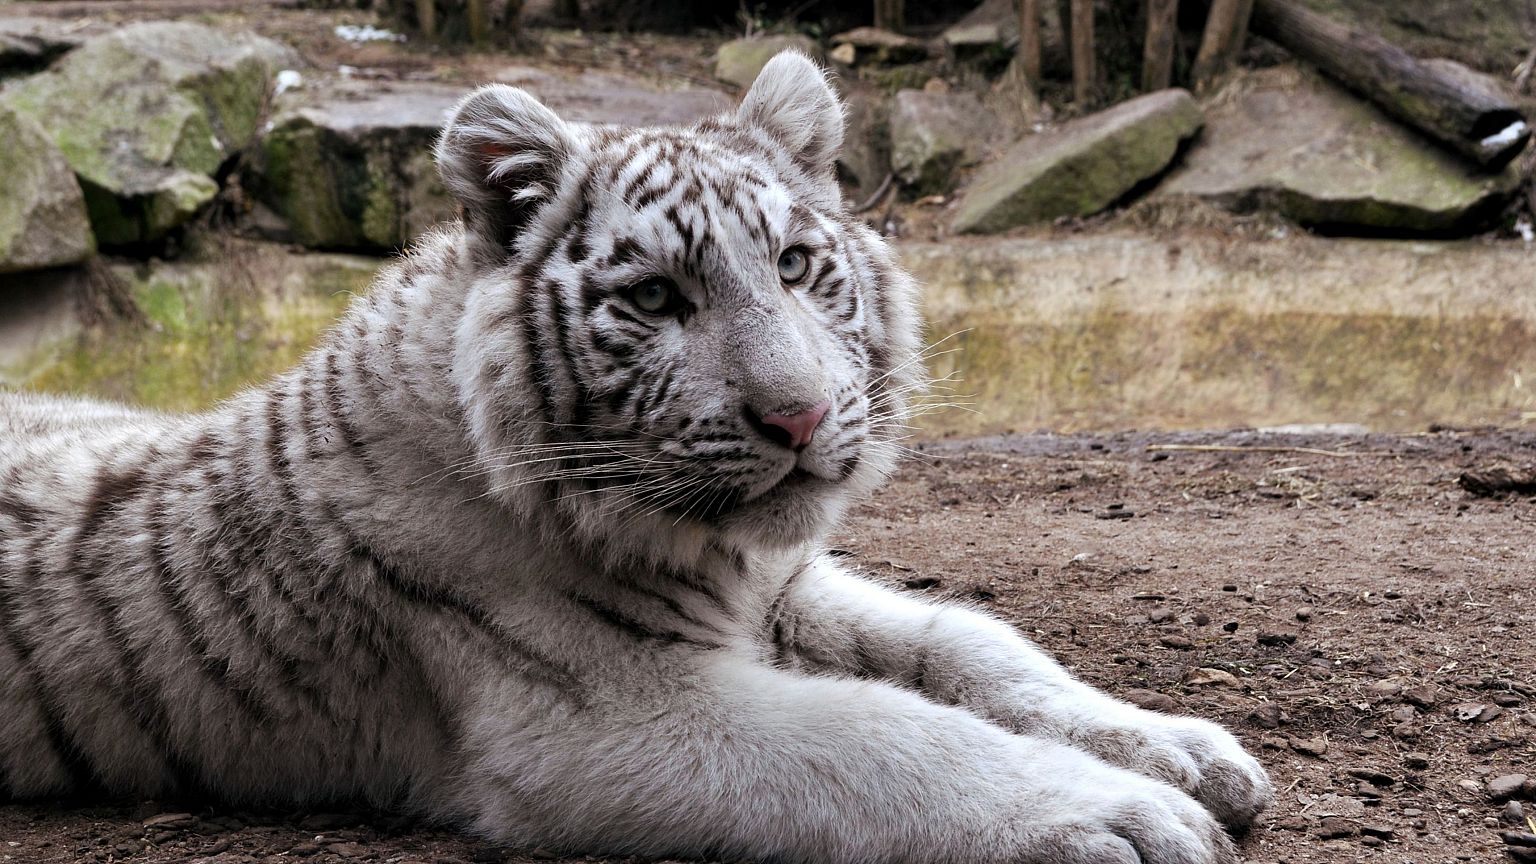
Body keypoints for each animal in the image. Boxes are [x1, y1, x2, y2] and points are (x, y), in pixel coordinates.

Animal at [0, 52, 1270, 863]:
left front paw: (1180, 751)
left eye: (797, 266)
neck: (707, 552)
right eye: (656, 299)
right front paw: (1123, 816)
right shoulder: (604, 724)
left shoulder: (788, 585)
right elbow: (888, 733)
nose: (801, 418)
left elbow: (972, 643)